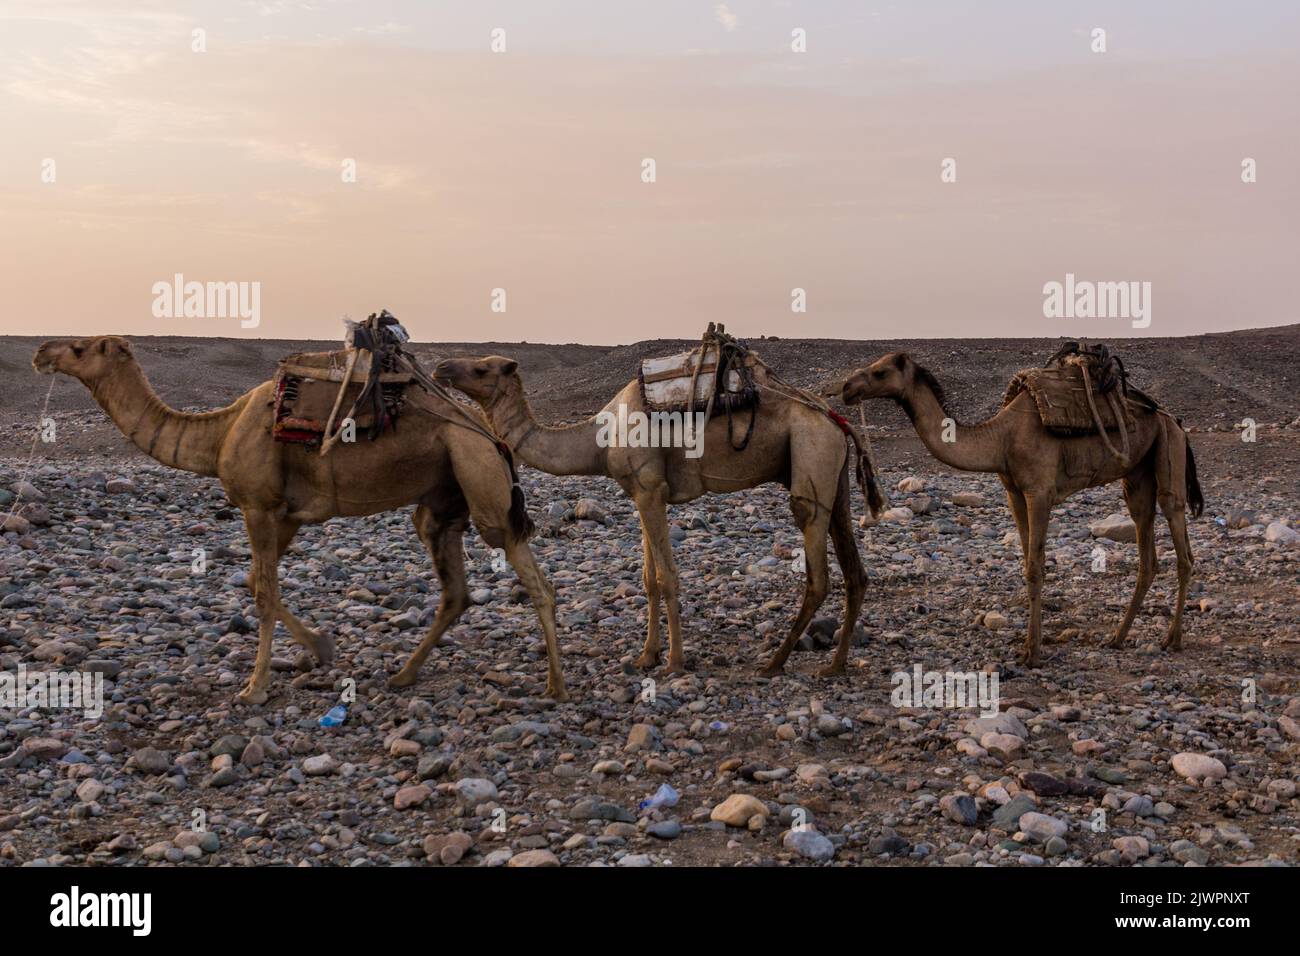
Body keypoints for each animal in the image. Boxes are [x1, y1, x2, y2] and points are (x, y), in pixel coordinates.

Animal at [31, 336, 568, 703]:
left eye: (79, 347)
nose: (41, 352)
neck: (221, 433)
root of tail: (491, 436)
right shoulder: (284, 514)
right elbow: (256, 582)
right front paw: (321, 647)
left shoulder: (258, 506)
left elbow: (265, 594)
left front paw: (254, 687)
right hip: (442, 499)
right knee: (454, 589)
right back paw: (403, 674)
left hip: (477, 476)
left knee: (533, 577)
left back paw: (555, 685)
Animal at [434, 353, 882, 678]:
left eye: (481, 367)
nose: (441, 368)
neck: (598, 438)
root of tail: (836, 420)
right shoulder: (641, 494)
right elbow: (649, 579)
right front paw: (645, 656)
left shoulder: (651, 490)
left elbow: (667, 577)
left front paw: (674, 662)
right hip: (833, 476)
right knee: (855, 570)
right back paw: (834, 664)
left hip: (811, 457)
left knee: (818, 572)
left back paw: (773, 663)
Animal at [839, 351, 1203, 667]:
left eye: (880, 371)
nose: (846, 388)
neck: (1001, 438)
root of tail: (1174, 419)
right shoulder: (1014, 492)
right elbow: (1027, 562)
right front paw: (1029, 645)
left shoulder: (1039, 492)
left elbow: (1036, 566)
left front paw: (1032, 652)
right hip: (1137, 474)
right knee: (1146, 546)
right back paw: (1117, 637)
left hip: (1167, 448)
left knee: (1180, 539)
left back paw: (1172, 639)